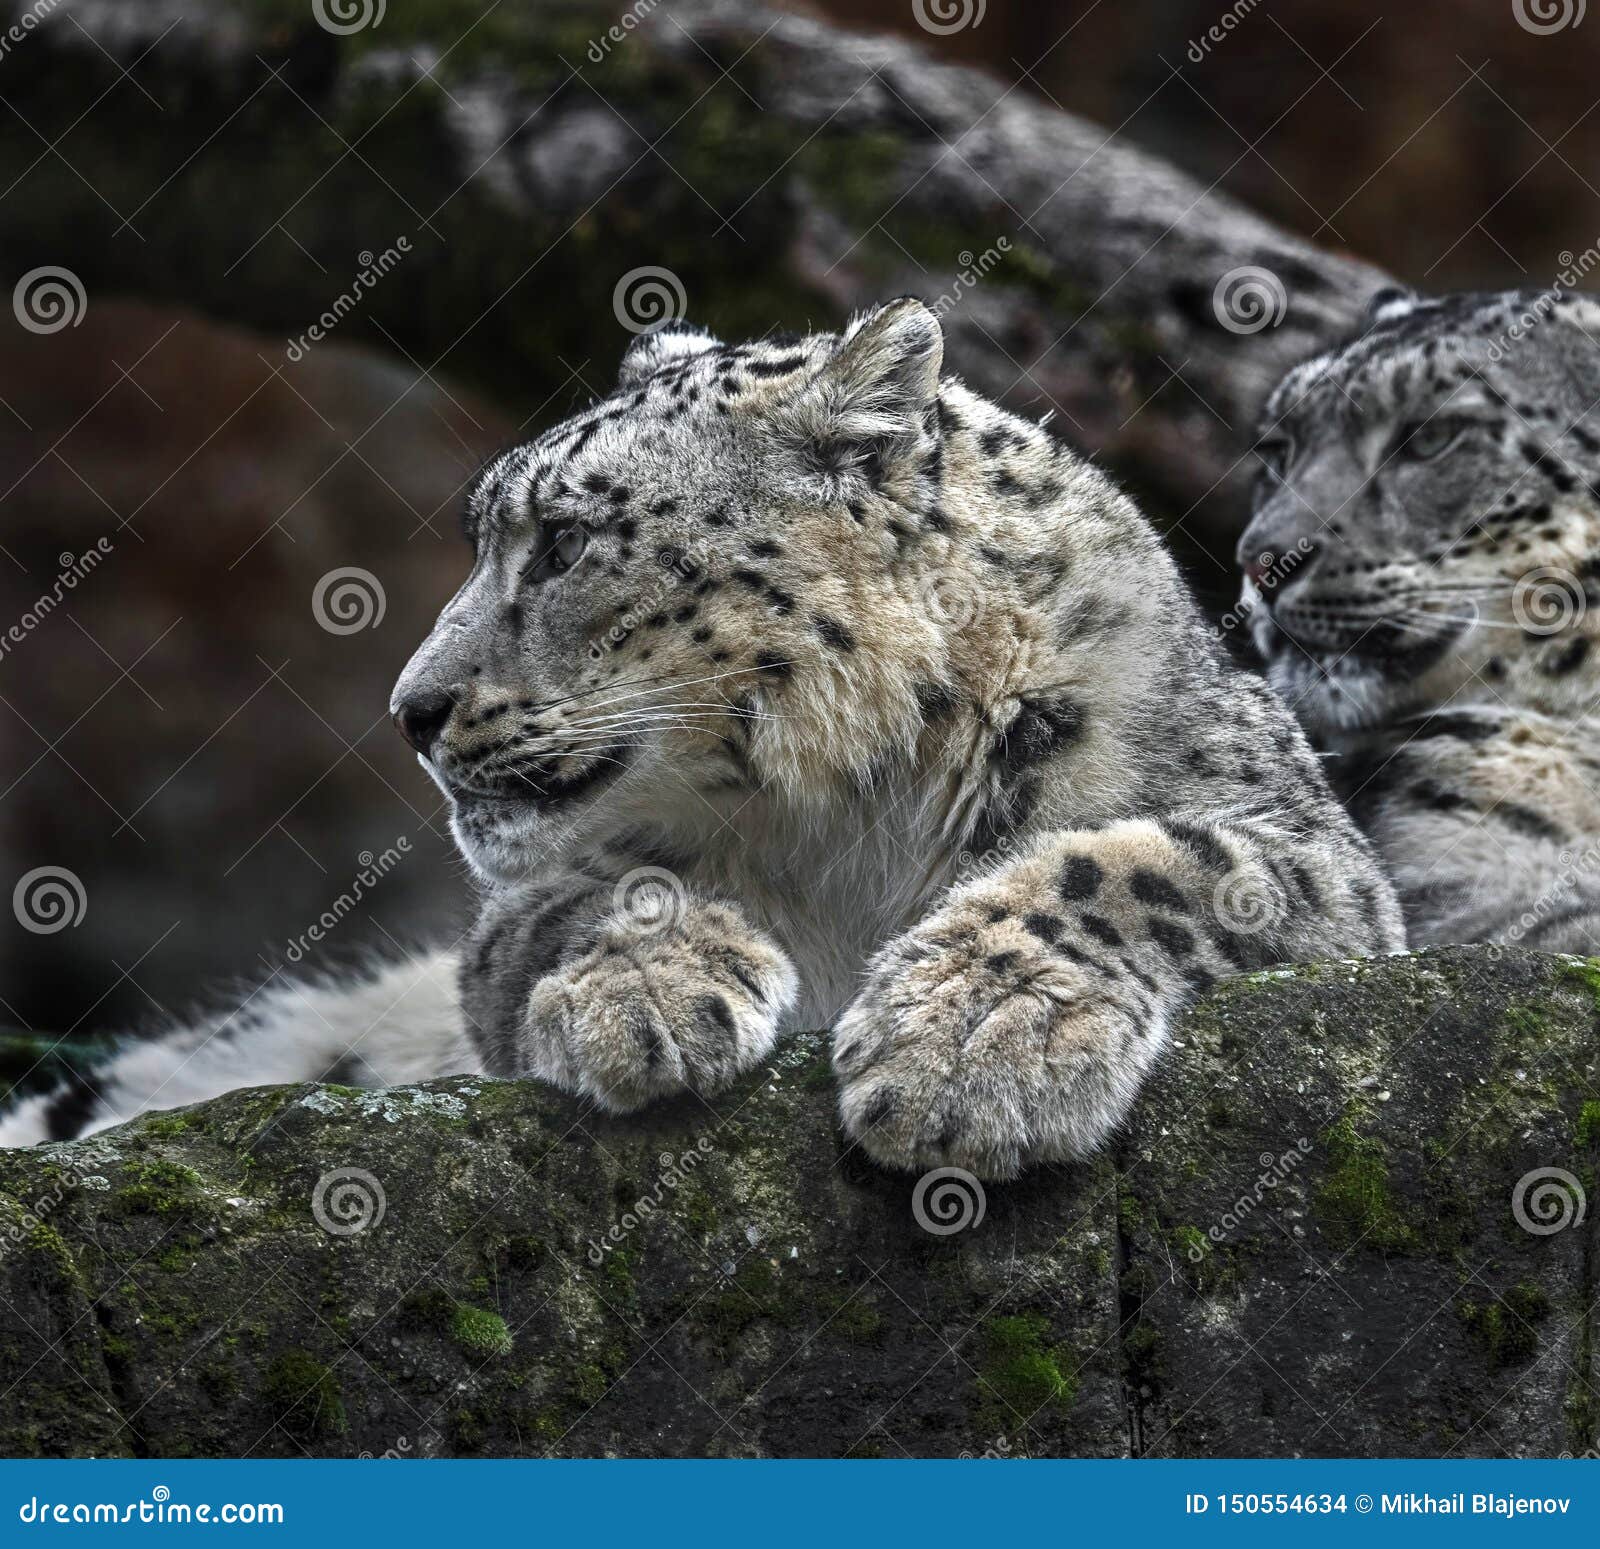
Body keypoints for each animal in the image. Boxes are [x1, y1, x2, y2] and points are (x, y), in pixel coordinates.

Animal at [1, 298, 1402, 1177]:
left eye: (564, 541)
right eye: (487, 534)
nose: (409, 709)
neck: (855, 822)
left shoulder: (1315, 854)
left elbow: (1136, 858)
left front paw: (969, 1039)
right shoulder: (509, 925)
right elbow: (579, 896)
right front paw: (650, 992)